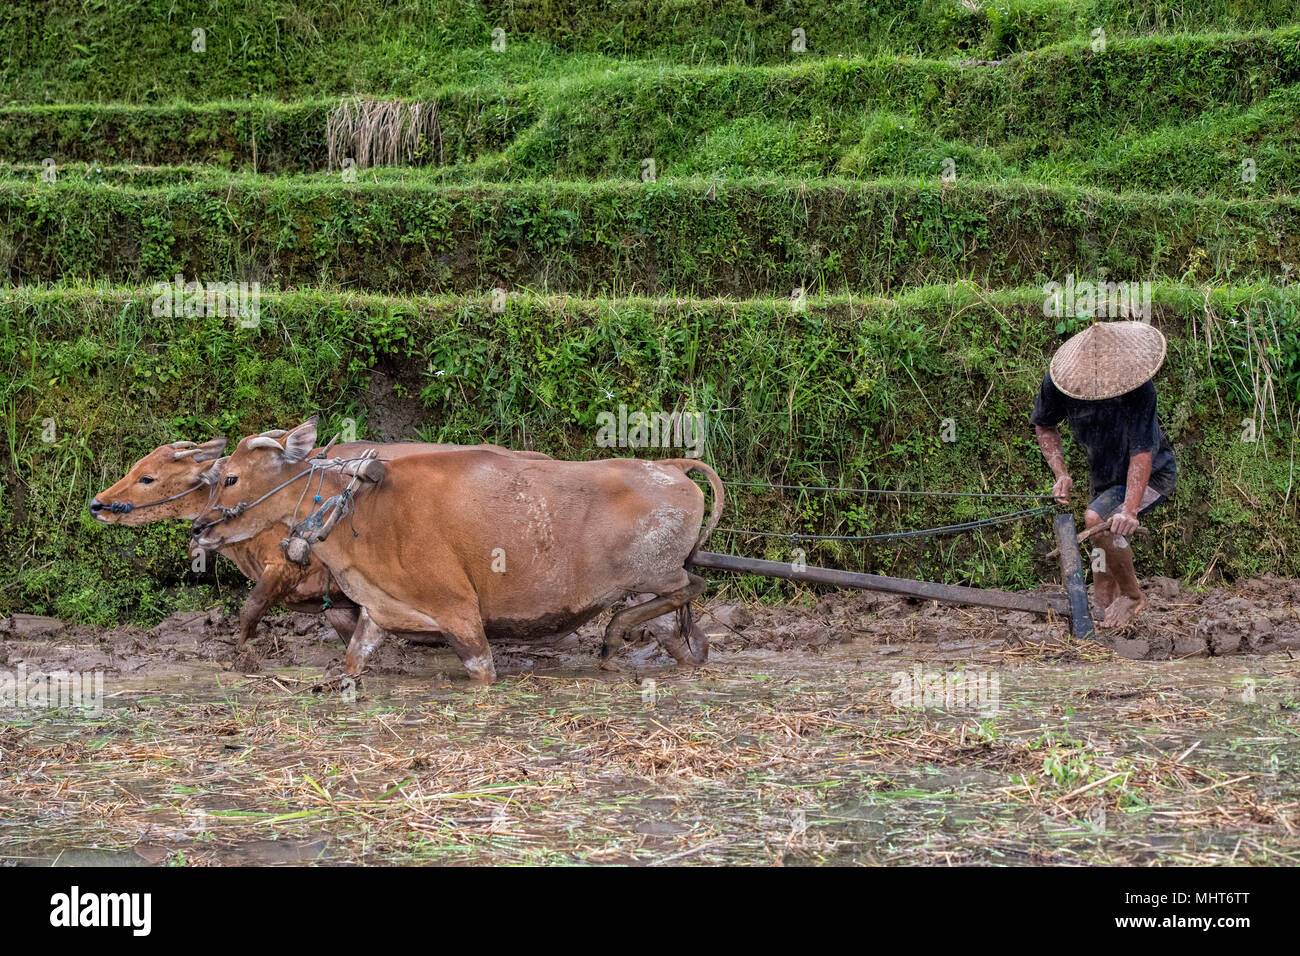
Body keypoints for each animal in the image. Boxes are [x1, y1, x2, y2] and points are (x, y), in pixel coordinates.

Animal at [91, 431, 547, 670]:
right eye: (136, 467)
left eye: (148, 478)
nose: (97, 504)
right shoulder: (341, 600)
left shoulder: (282, 570)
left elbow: (249, 611)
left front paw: (241, 654)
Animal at [192, 417, 723, 684]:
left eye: (231, 477)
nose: (199, 528)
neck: (363, 507)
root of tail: (670, 466)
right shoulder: (379, 612)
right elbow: (353, 662)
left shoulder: (460, 614)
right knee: (686, 624)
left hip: (655, 573)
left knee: (693, 584)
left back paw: (615, 635)